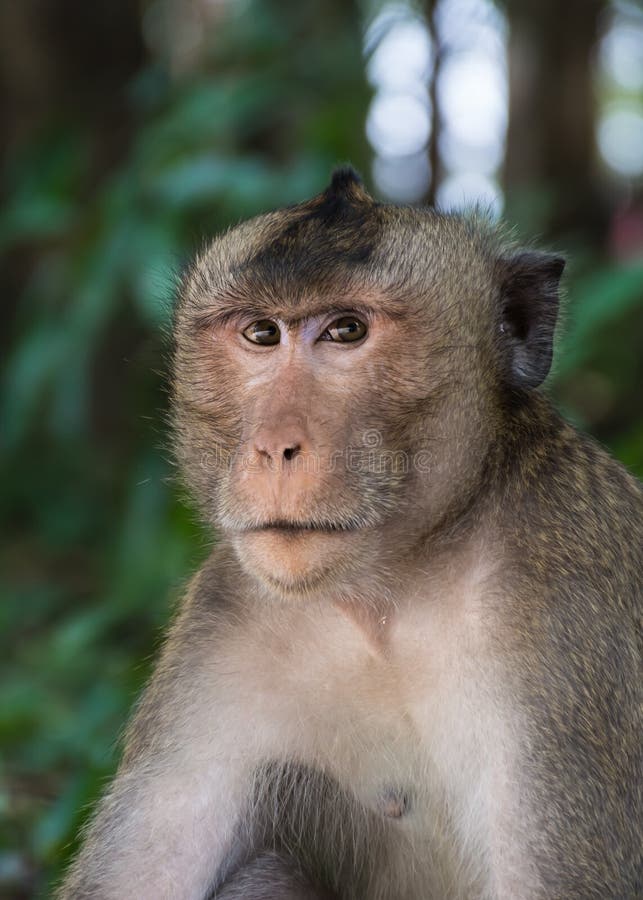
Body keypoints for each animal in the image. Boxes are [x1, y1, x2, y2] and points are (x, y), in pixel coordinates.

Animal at [58, 167, 642, 899]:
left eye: (345, 330)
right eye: (261, 334)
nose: (275, 446)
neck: (390, 596)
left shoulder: (567, 605)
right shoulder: (224, 616)